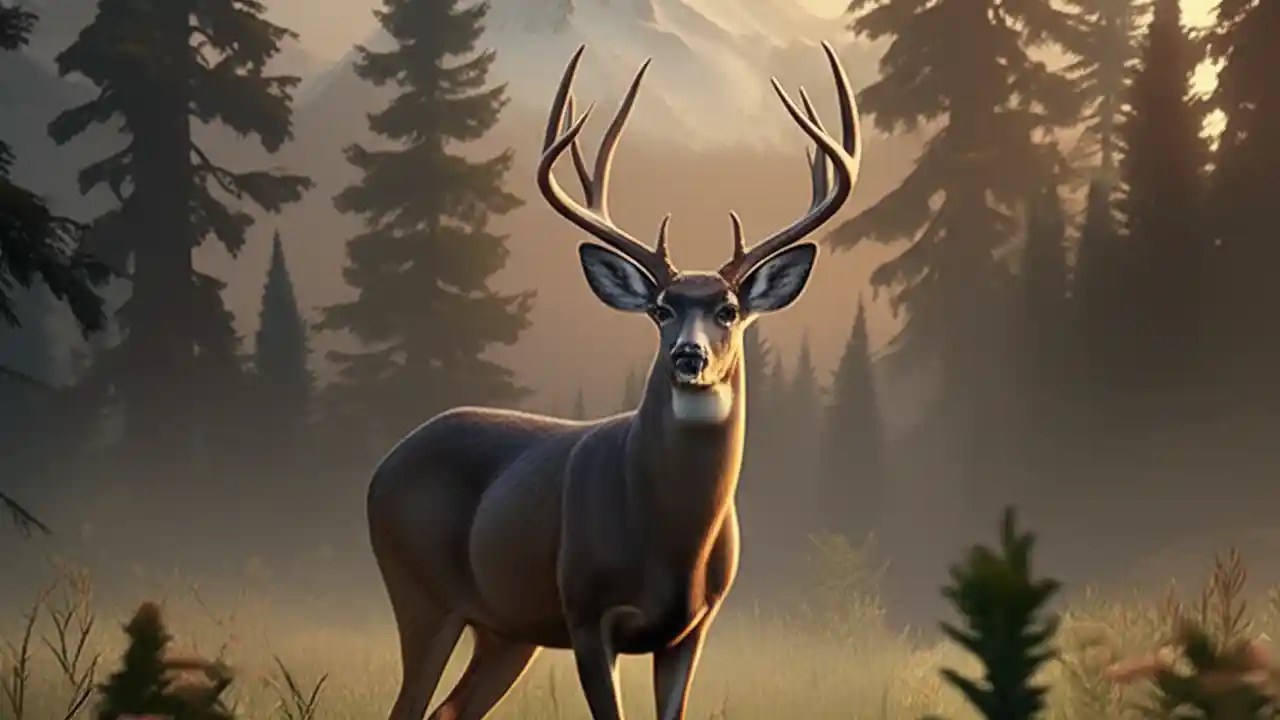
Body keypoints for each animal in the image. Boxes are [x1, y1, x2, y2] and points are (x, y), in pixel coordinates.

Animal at [366, 41, 861, 720]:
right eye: (661, 308)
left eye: (729, 310)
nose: (688, 356)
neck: (673, 542)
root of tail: (383, 466)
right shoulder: (586, 612)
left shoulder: (692, 628)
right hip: (420, 591)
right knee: (412, 703)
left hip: (507, 629)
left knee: (452, 708)